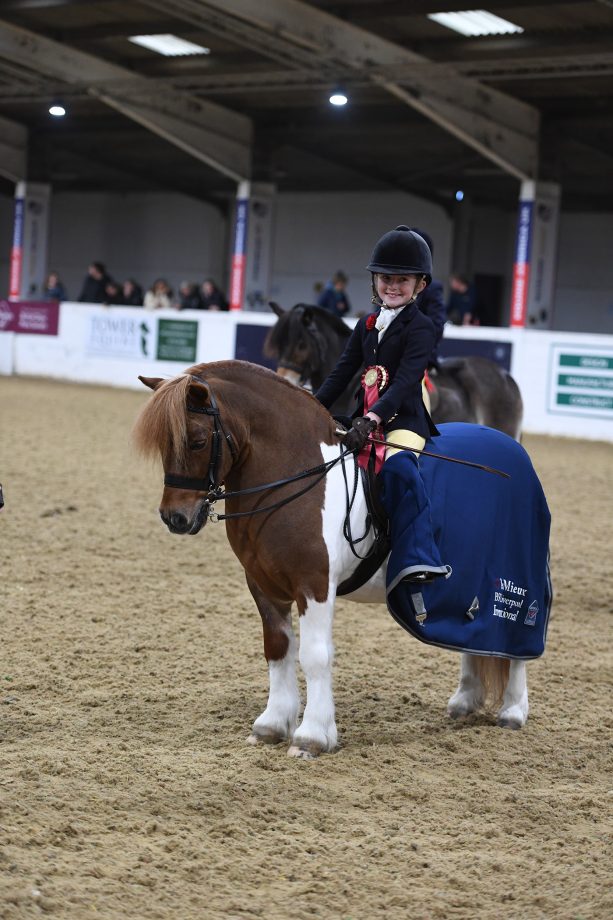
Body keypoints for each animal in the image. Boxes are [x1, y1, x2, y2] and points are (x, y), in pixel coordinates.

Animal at [134, 360, 536, 759]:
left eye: (198, 441)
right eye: (164, 444)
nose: (175, 518)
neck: (292, 473)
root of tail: (514, 452)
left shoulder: (313, 585)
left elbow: (315, 655)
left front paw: (311, 737)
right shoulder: (264, 585)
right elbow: (277, 649)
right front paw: (271, 725)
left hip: (514, 579)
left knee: (516, 641)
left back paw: (513, 711)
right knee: (475, 639)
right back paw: (465, 702)